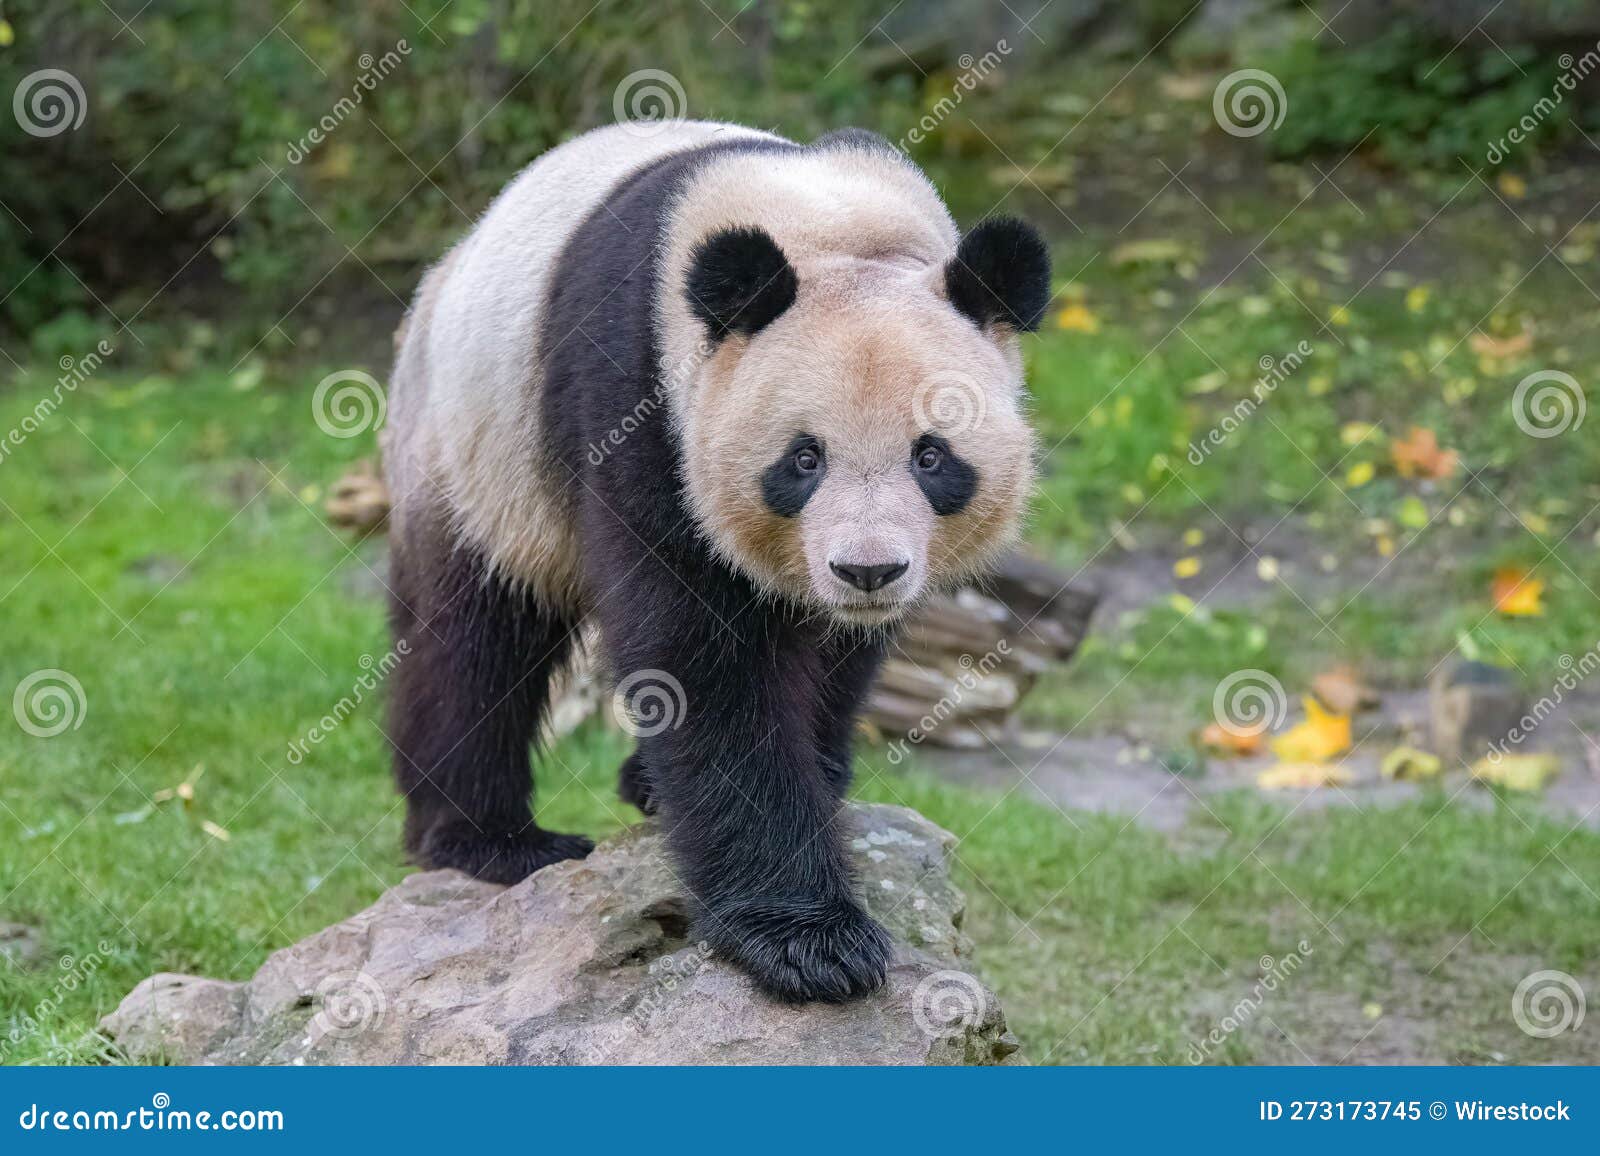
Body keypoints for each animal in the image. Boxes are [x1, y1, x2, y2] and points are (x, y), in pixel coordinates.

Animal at [382, 120, 1050, 1003]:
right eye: (804, 458)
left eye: (931, 456)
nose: (866, 572)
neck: (834, 227)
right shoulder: (639, 406)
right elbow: (697, 662)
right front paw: (810, 941)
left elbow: (834, 661)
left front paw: (819, 773)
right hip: (476, 447)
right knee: (473, 635)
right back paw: (486, 839)